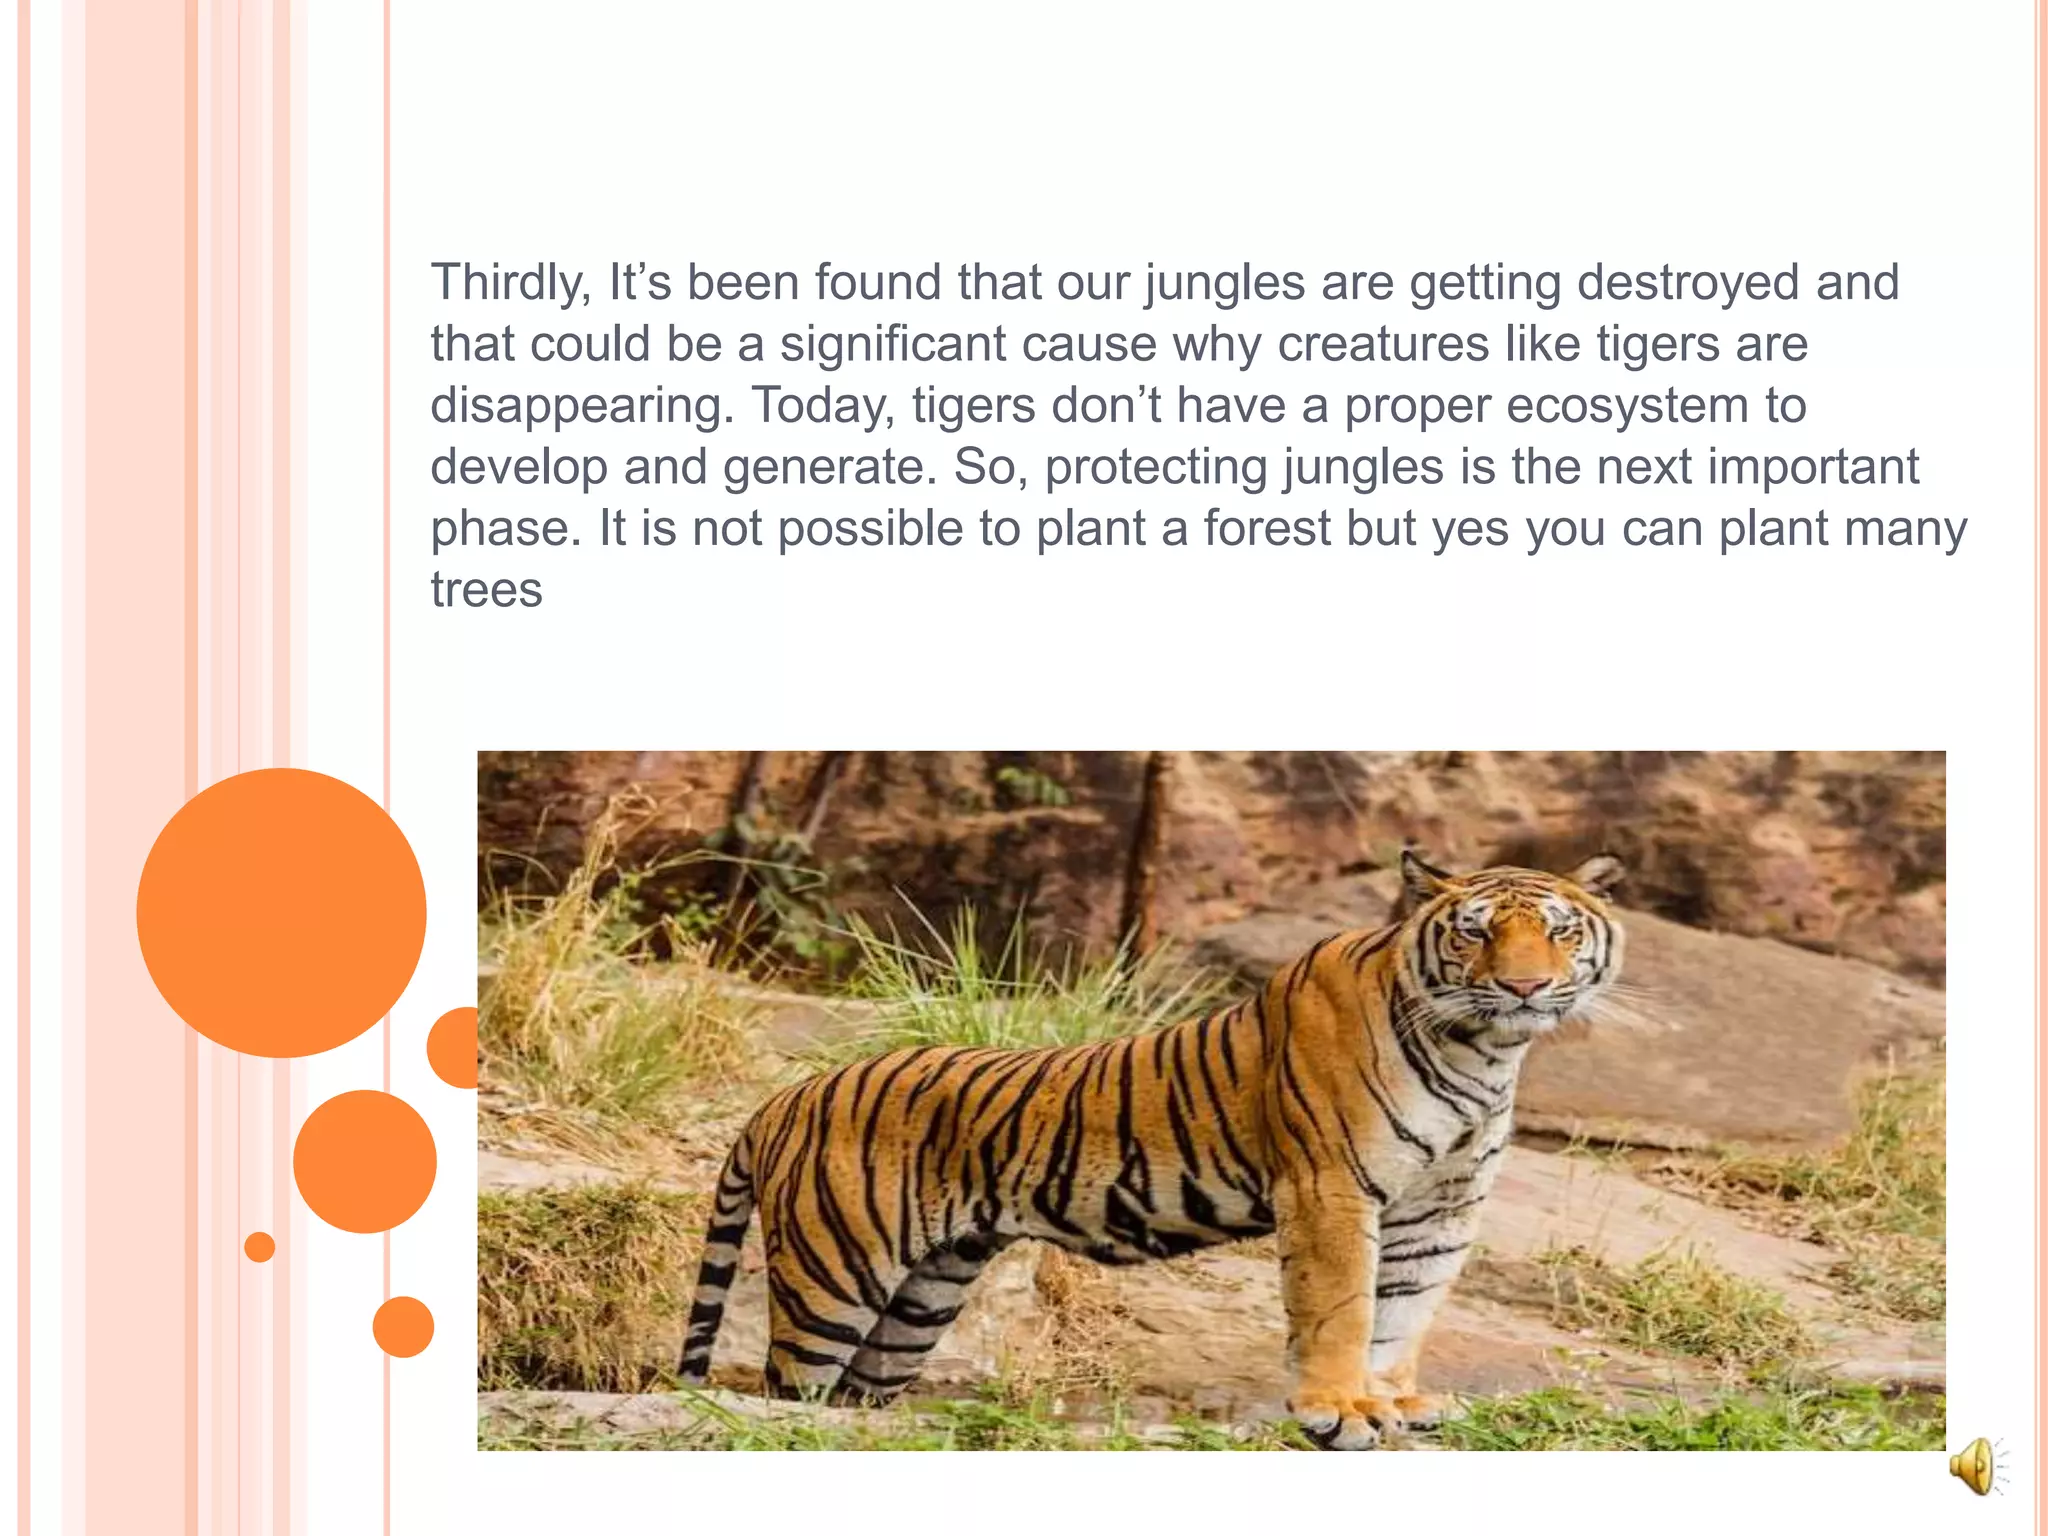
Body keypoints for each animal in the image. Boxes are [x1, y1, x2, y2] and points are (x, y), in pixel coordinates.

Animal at [677, 850, 1625, 1449]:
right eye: (1474, 933)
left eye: (1560, 932)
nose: (1525, 987)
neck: (1484, 1051)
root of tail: (784, 1097)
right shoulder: (1331, 1188)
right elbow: (1345, 1309)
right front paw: (1340, 1411)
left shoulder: (1443, 1206)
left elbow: (1405, 1312)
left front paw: (1393, 1403)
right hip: (832, 1278)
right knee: (786, 1389)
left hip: (920, 1299)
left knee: (854, 1399)